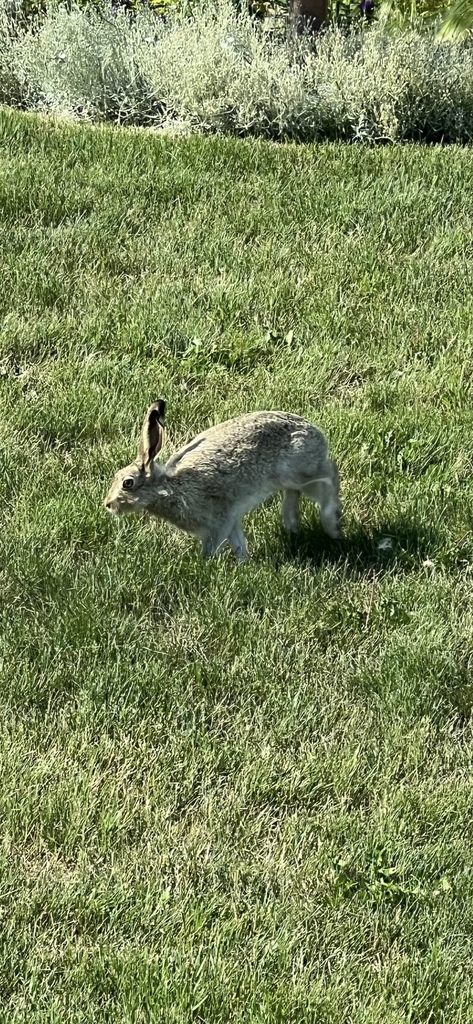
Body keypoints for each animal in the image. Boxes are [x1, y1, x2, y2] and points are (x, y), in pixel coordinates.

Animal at [104, 400, 342, 562]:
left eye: (127, 483)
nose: (108, 504)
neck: (169, 487)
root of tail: (314, 431)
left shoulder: (218, 523)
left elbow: (211, 550)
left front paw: (206, 566)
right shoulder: (231, 519)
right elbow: (239, 544)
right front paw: (245, 565)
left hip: (297, 471)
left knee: (330, 472)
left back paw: (332, 525)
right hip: (292, 479)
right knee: (298, 490)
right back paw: (292, 524)